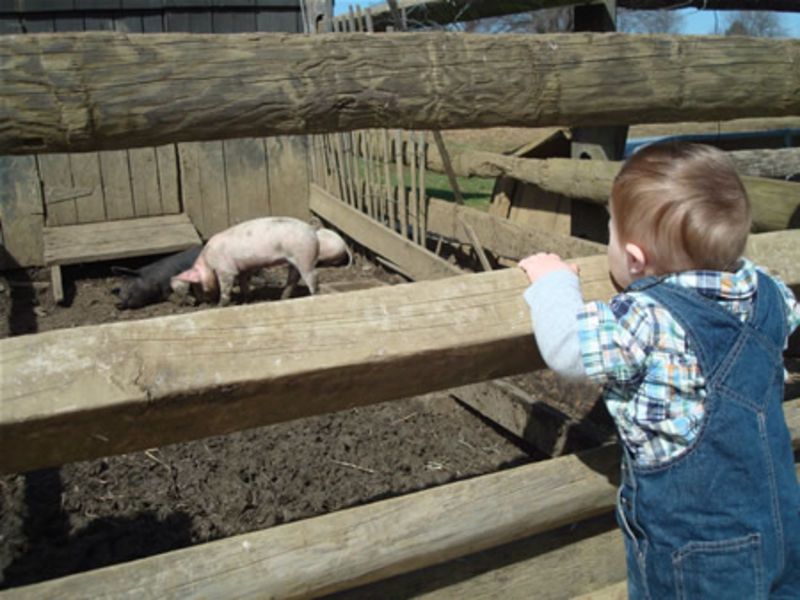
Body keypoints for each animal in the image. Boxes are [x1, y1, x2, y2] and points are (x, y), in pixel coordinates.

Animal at [171, 216, 319, 307]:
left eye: (198, 286)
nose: (204, 303)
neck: (208, 261)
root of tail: (312, 231)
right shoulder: (243, 269)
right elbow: (243, 284)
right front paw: (246, 300)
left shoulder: (226, 269)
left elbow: (225, 288)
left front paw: (220, 305)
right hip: (294, 260)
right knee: (293, 278)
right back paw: (282, 298)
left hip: (304, 256)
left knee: (312, 278)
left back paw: (313, 296)